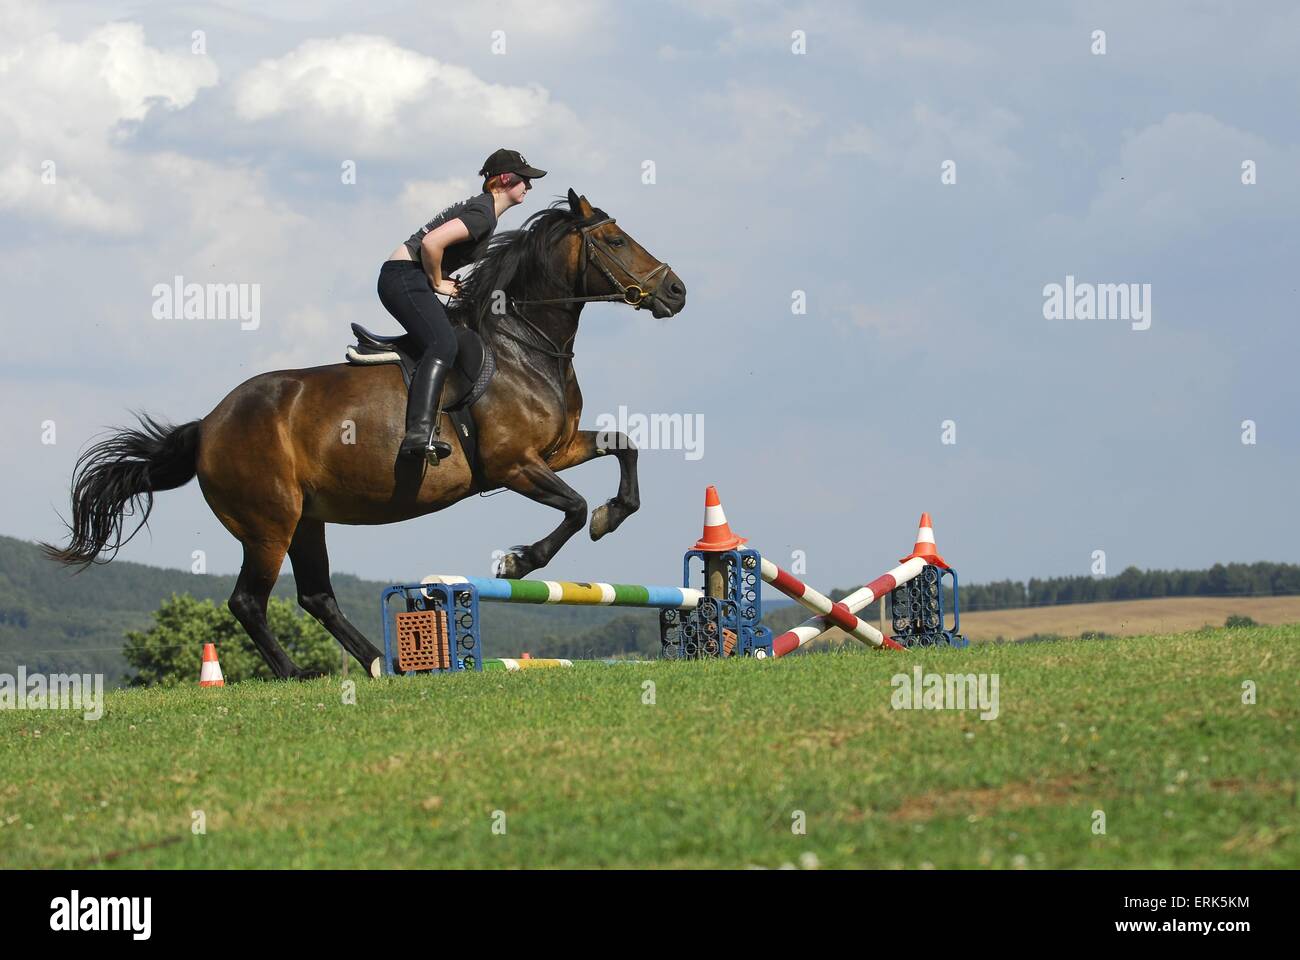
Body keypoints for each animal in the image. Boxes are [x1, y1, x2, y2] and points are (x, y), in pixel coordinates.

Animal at [43, 189, 687, 680]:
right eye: (616, 240)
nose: (676, 291)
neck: (523, 343)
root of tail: (208, 426)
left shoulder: (556, 449)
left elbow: (624, 448)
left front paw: (612, 514)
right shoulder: (513, 463)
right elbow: (572, 508)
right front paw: (518, 561)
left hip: (307, 519)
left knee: (315, 595)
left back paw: (380, 663)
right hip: (269, 522)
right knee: (249, 600)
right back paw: (297, 673)